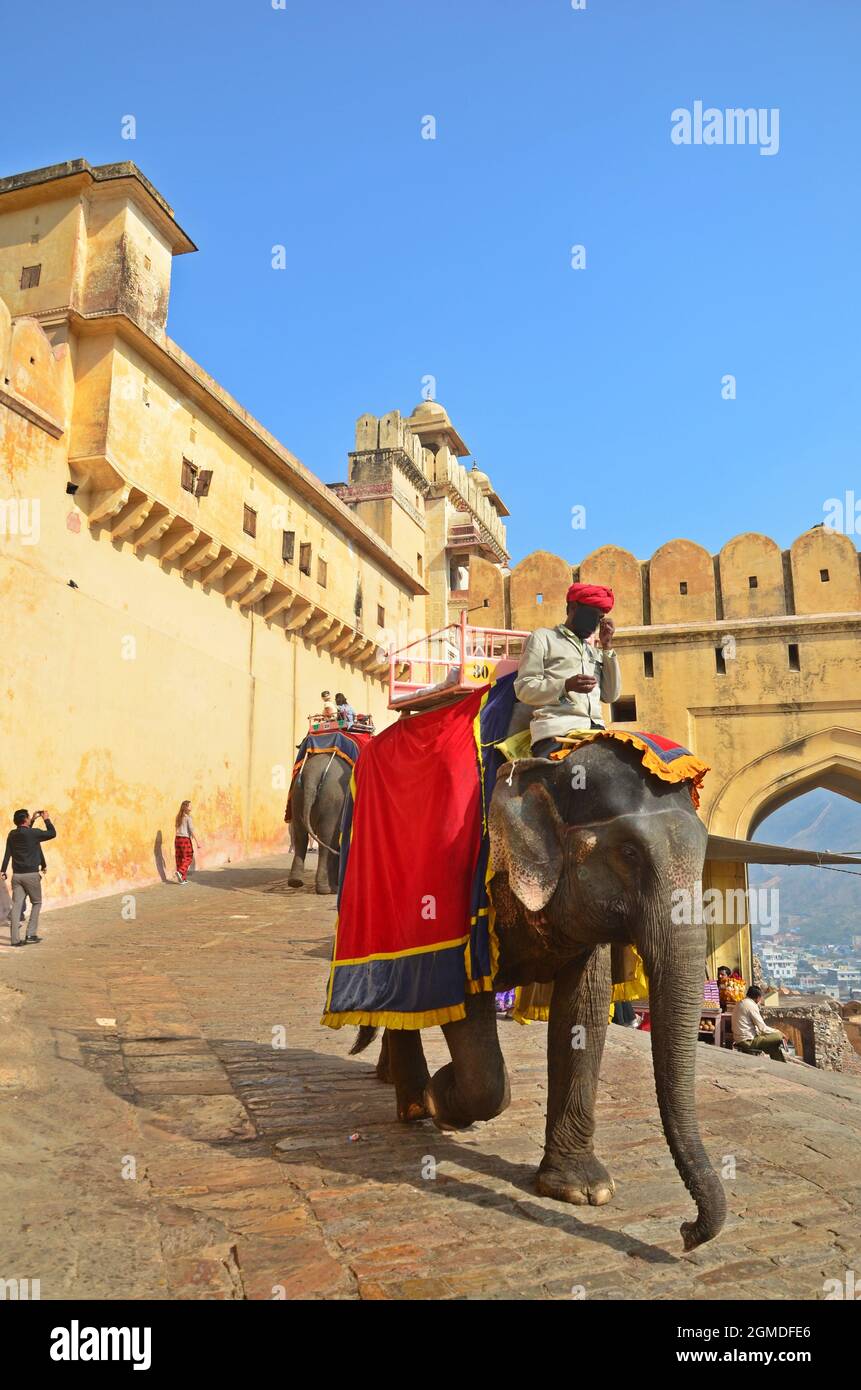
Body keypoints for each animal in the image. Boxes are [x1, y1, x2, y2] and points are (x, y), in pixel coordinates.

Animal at [287, 751, 352, 894]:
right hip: (333, 802)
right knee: (327, 839)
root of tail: (312, 775)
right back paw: (326, 889)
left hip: (297, 796)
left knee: (301, 836)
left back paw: (295, 881)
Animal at [351, 737, 727, 1251]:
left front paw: (582, 1191)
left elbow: (584, 1008)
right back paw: (414, 1106)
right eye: (629, 852)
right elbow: (475, 1024)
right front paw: (443, 1102)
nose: (686, 1233)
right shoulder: (473, 893)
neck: (548, 768)